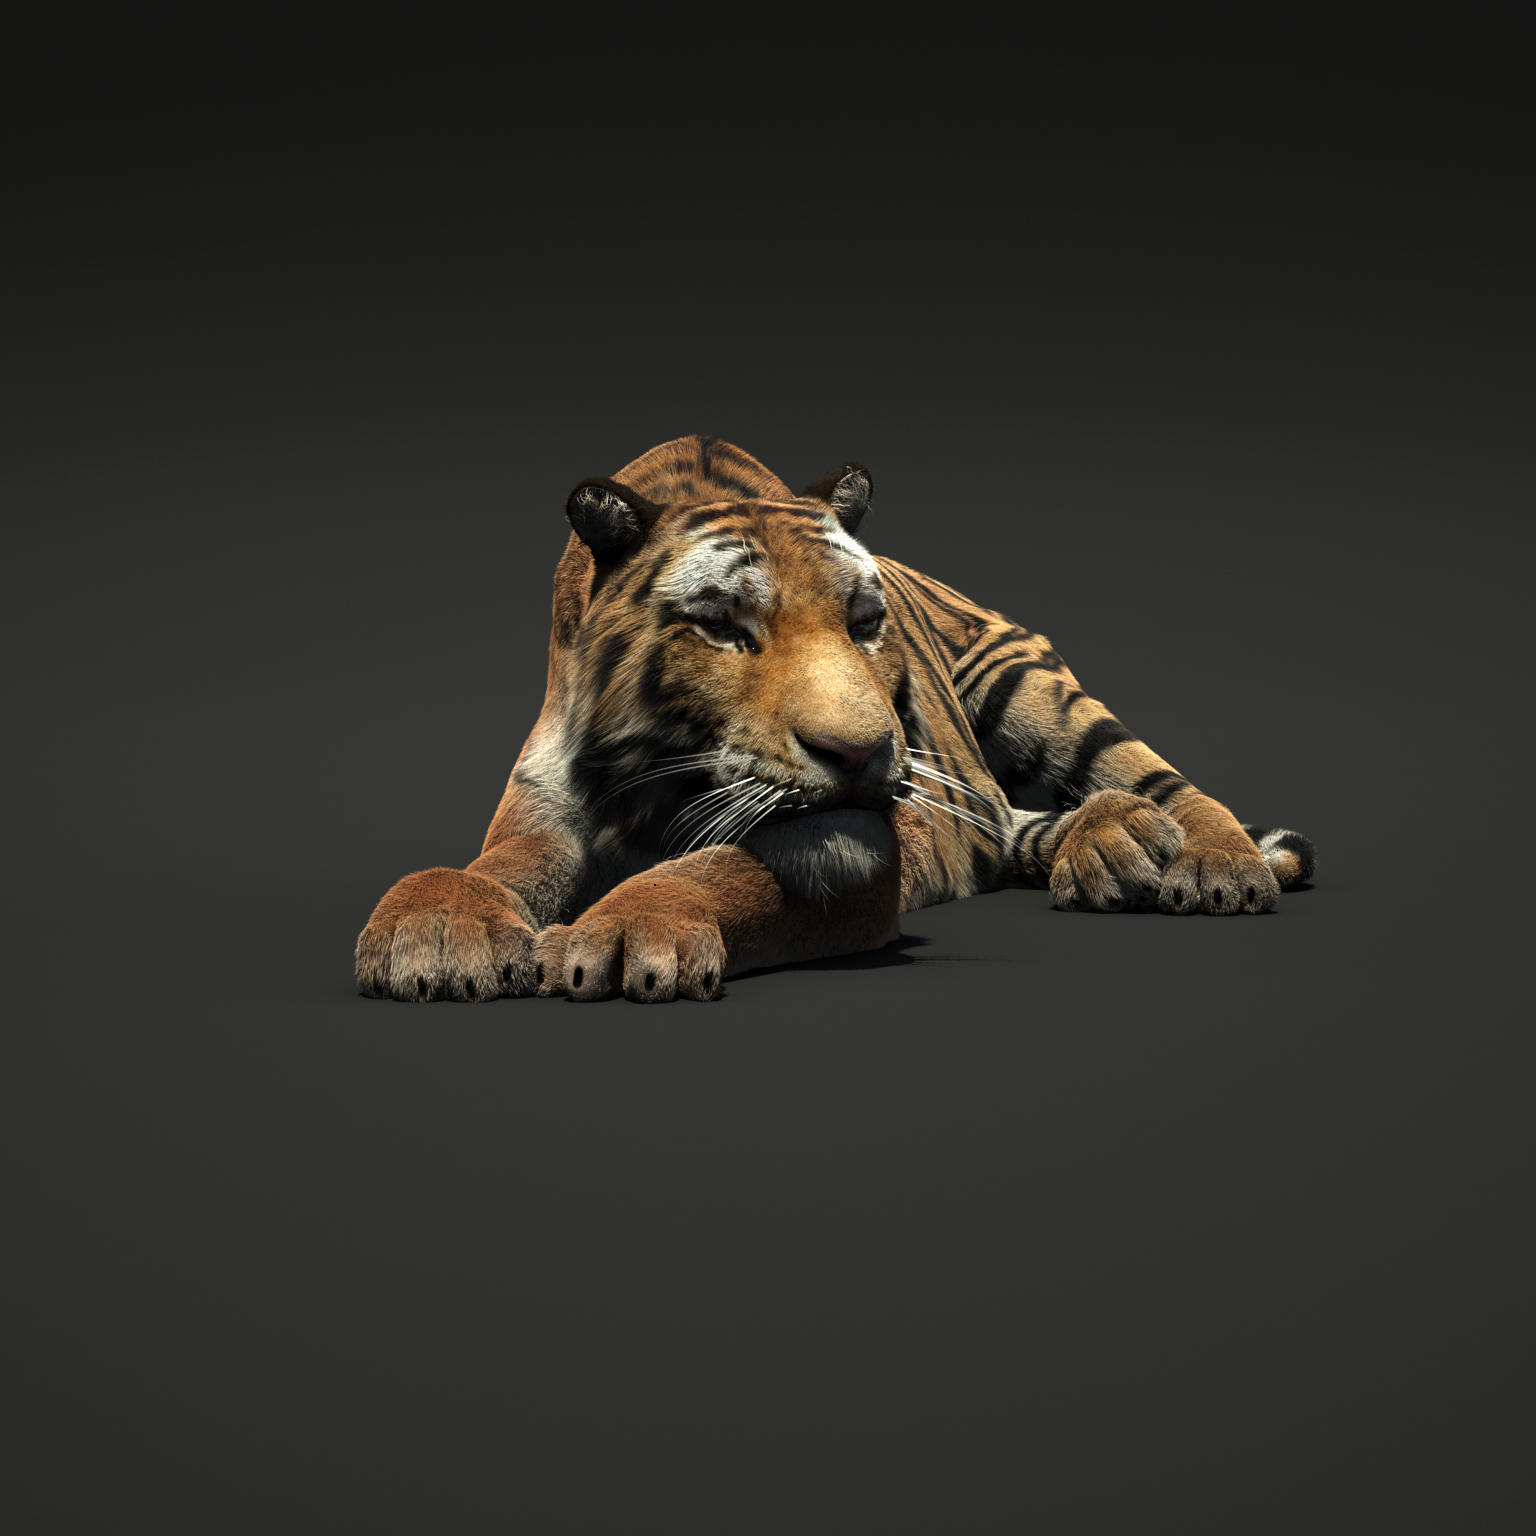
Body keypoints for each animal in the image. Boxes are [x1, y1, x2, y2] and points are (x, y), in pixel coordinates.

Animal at [355, 434, 1316, 1003]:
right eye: (723, 626)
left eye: (863, 621)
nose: (863, 752)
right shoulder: (544, 809)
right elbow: (499, 865)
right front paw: (434, 931)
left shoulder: (856, 847)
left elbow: (720, 871)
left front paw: (625, 934)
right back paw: (1110, 846)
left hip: (1033, 686)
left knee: (1164, 780)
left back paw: (1208, 865)